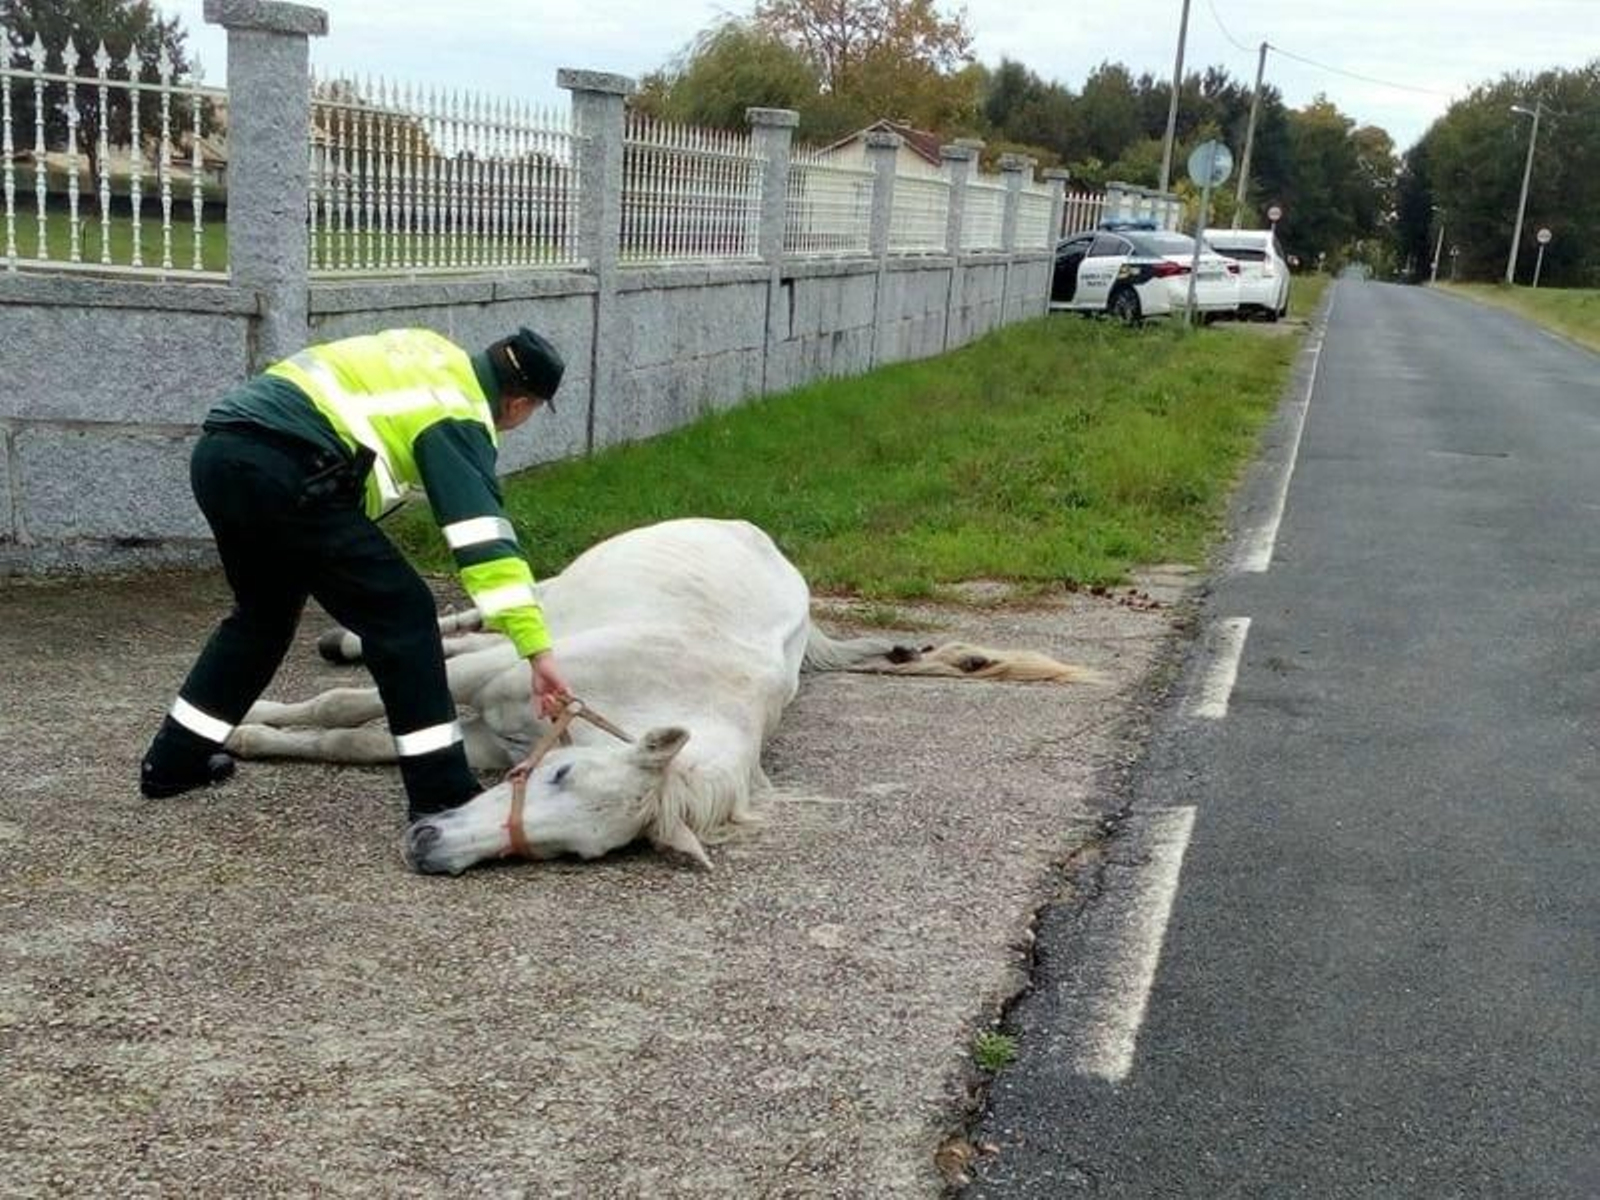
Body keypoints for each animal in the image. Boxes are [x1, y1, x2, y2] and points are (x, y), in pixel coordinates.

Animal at [227, 518, 1097, 875]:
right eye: (558, 775)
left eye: (574, 853)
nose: (427, 848)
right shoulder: (490, 685)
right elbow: (348, 709)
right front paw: (245, 727)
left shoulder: (481, 735)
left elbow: (356, 738)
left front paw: (252, 737)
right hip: (547, 599)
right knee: (468, 623)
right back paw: (340, 644)